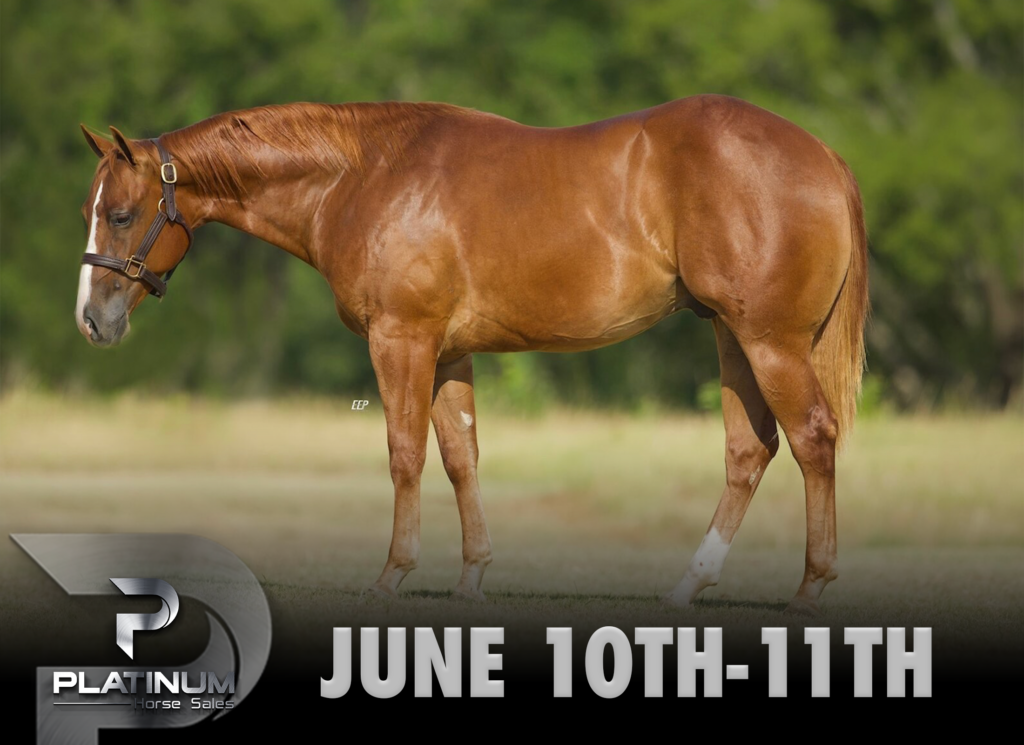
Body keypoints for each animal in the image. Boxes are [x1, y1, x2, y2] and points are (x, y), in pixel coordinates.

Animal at [76, 95, 868, 616]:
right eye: (92, 210)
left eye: (121, 214)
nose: (91, 319)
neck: (365, 176)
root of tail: (825, 156)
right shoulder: (450, 353)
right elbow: (462, 457)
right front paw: (472, 577)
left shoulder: (402, 339)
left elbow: (405, 455)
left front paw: (392, 574)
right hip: (732, 336)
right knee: (749, 451)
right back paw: (688, 586)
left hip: (768, 342)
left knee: (812, 439)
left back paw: (811, 588)